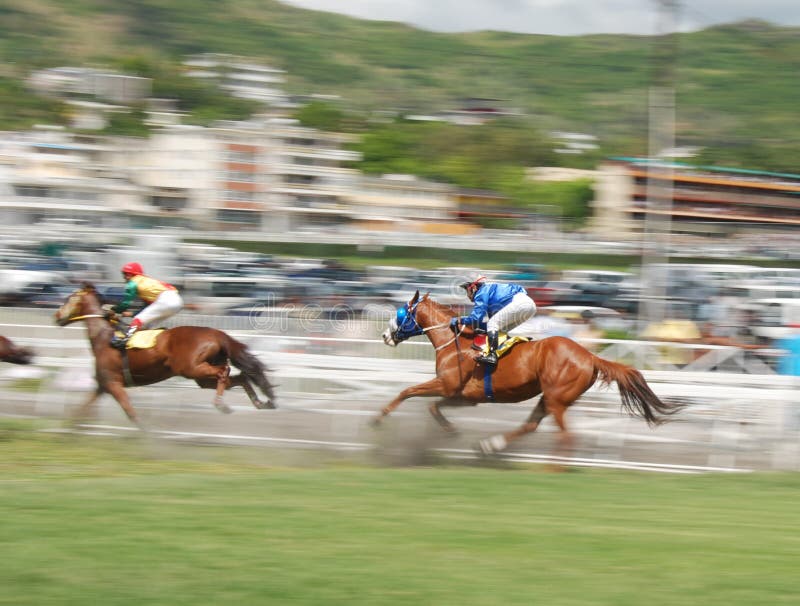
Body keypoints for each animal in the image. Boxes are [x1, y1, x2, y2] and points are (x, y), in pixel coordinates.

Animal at [54, 282, 276, 428]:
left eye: (70, 298)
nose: (57, 316)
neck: (103, 336)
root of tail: (218, 334)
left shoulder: (113, 383)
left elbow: (130, 412)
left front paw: (145, 435)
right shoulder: (103, 384)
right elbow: (81, 410)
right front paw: (67, 431)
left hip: (192, 368)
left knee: (224, 371)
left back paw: (221, 404)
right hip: (201, 376)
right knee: (240, 377)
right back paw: (262, 402)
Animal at [375, 291, 684, 457]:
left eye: (401, 313)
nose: (385, 336)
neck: (455, 343)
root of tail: (590, 356)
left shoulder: (446, 385)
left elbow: (408, 392)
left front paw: (378, 418)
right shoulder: (463, 396)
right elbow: (433, 407)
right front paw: (451, 432)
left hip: (557, 398)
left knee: (565, 435)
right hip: (549, 397)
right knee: (532, 425)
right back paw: (490, 444)